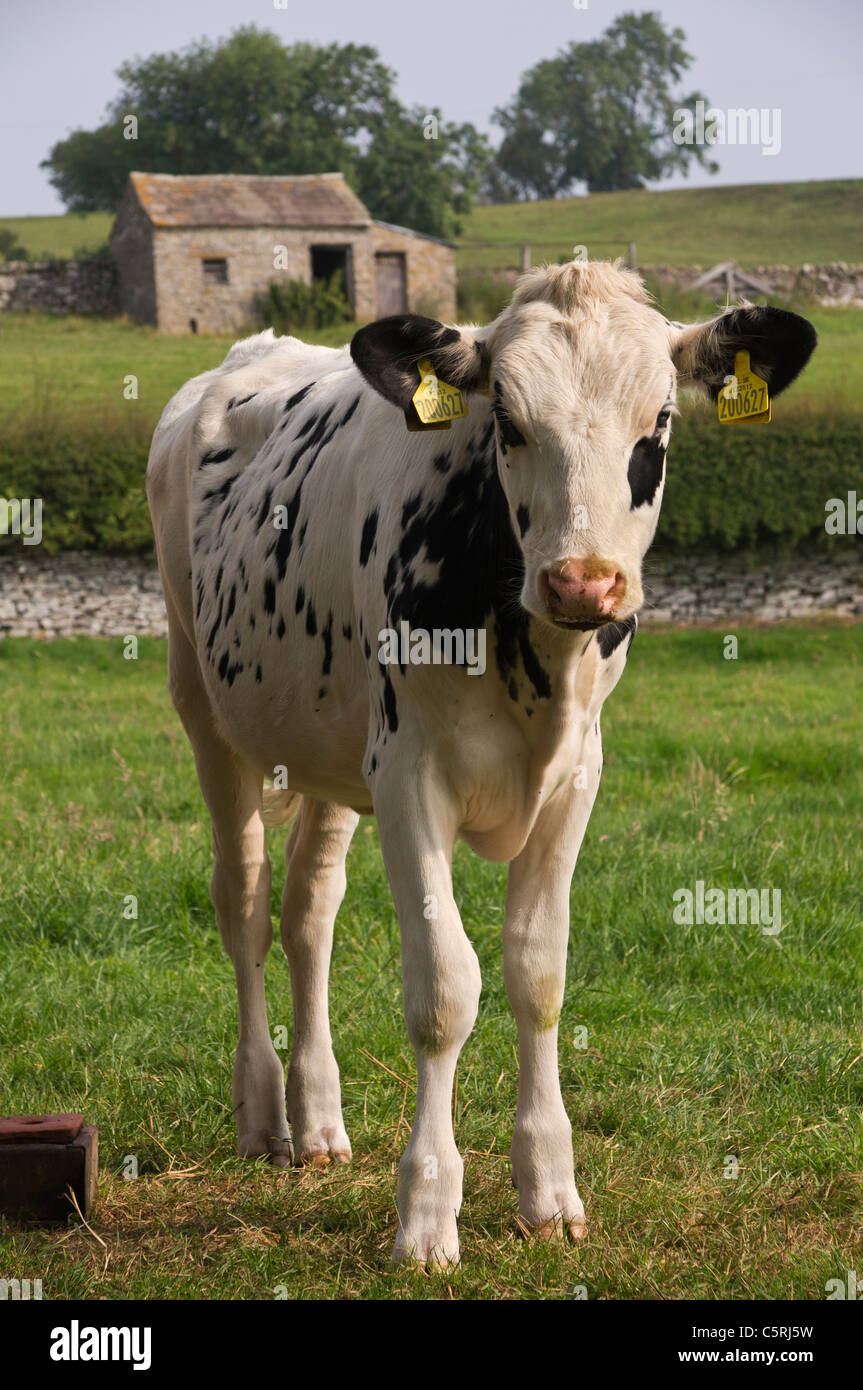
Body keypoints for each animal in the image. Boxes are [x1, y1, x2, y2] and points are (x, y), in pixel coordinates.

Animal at [146, 260, 816, 1268]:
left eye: (660, 421)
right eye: (504, 418)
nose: (583, 581)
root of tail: (245, 355)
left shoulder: (575, 776)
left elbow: (537, 975)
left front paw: (548, 1188)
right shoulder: (408, 775)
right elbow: (442, 990)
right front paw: (426, 1212)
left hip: (331, 748)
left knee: (309, 912)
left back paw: (319, 1116)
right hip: (207, 711)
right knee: (246, 908)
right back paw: (263, 1114)